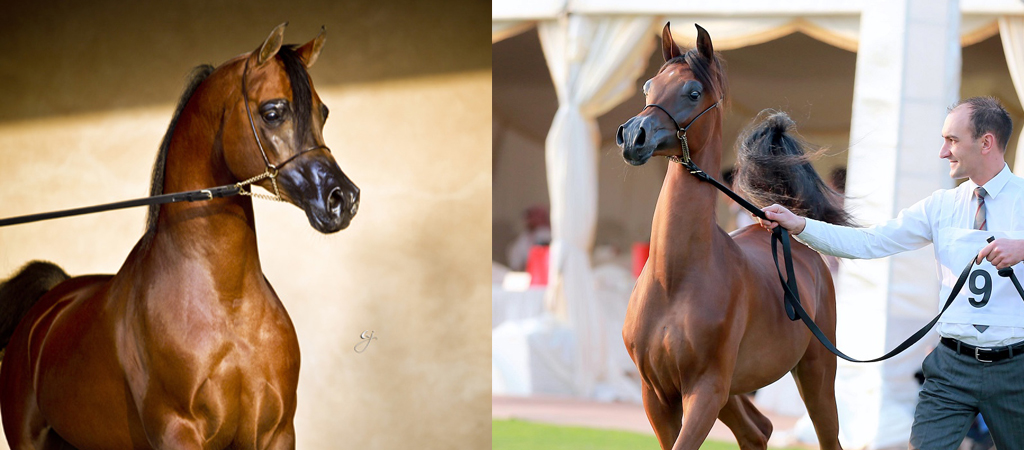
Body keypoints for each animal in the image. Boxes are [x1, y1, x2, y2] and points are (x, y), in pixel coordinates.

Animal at [0, 23, 359, 449]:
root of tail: (49, 304)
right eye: (273, 112)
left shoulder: (276, 434)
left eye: (323, 112)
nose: (342, 198)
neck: (228, 303)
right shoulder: (178, 432)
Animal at [616, 23, 849, 450]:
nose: (633, 135)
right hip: (737, 390)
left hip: (816, 375)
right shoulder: (656, 394)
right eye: (648, 86)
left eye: (693, 92)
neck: (674, 279)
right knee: (758, 430)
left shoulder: (706, 389)